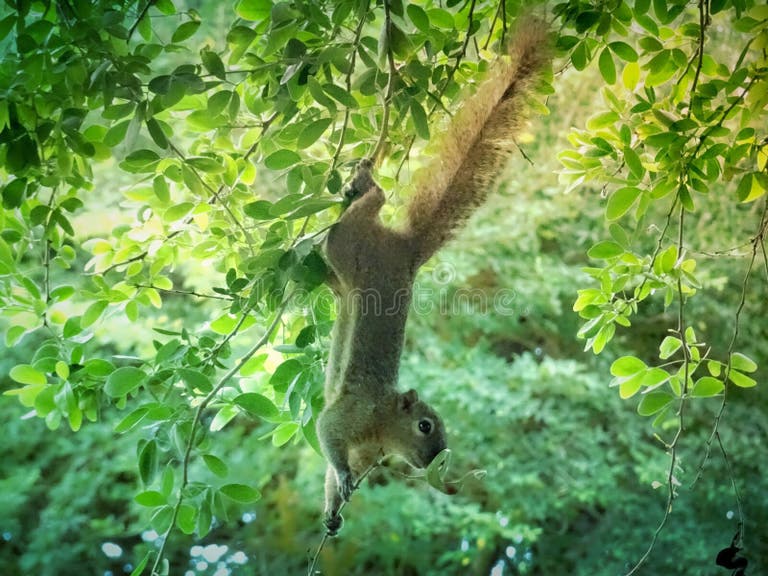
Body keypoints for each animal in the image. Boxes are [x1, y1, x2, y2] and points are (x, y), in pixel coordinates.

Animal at [316, 17, 552, 535]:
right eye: (425, 425)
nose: (436, 459)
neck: (382, 427)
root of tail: (405, 252)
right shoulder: (349, 414)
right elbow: (326, 437)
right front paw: (342, 478)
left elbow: (329, 475)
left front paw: (332, 512)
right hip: (351, 247)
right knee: (362, 213)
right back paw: (367, 184)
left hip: (346, 272)